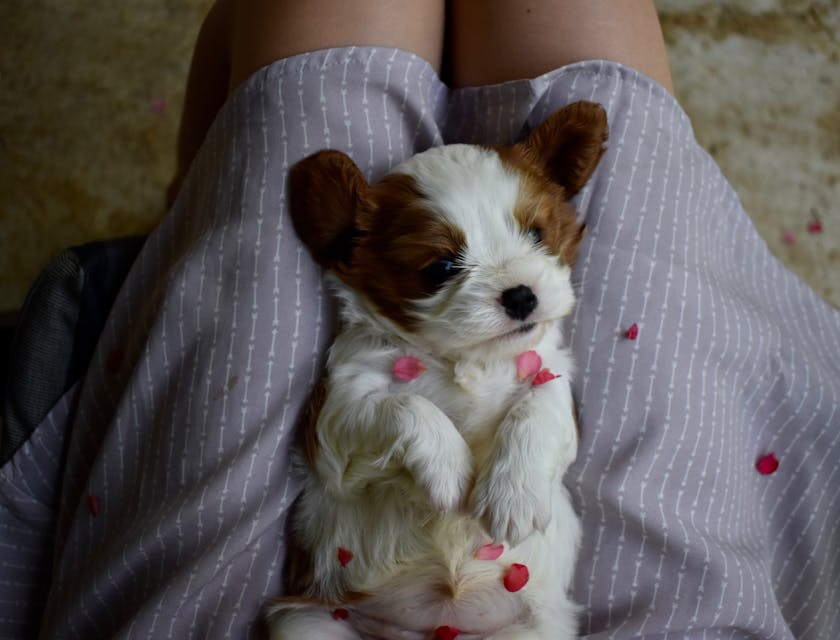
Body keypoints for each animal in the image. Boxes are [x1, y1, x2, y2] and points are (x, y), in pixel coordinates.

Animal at [272, 101, 608, 640]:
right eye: (441, 267)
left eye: (537, 234)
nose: (521, 296)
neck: (465, 357)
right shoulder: (334, 415)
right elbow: (403, 405)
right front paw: (451, 468)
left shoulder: (553, 377)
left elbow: (536, 410)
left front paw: (513, 493)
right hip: (308, 620)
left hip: (536, 630)